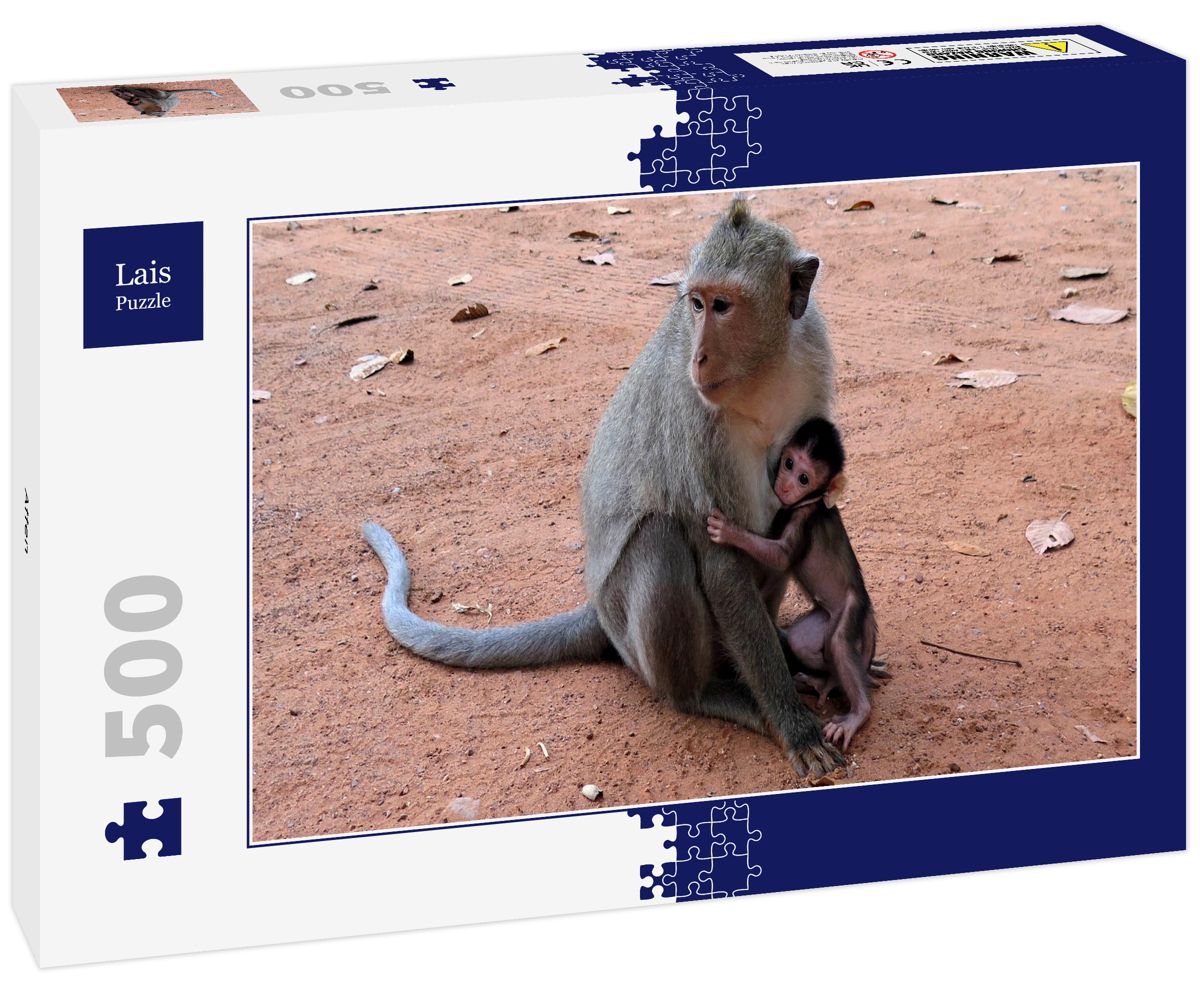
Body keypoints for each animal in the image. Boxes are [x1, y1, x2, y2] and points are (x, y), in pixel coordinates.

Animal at [363, 198, 844, 778]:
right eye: (697, 304)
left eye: (724, 306)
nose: (700, 356)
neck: (764, 370)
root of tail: (599, 612)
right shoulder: (695, 420)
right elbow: (720, 556)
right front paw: (793, 726)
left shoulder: (812, 355)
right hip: (631, 632)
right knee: (660, 539)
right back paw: (705, 694)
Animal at [706, 417, 878, 750]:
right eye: (788, 463)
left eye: (804, 478)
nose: (785, 486)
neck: (809, 501)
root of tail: (866, 603)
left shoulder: (803, 516)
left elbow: (781, 556)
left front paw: (730, 531)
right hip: (825, 616)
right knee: (803, 640)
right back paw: (827, 681)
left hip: (850, 607)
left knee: (838, 644)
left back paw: (858, 712)